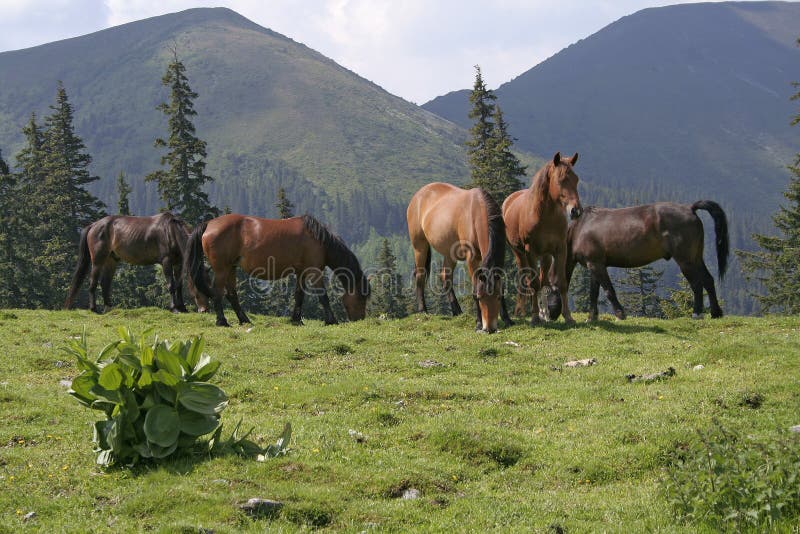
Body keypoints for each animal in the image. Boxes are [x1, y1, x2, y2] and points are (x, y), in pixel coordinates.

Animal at [64, 213, 208, 314]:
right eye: (200, 287)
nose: (204, 309)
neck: (171, 231)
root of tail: (93, 225)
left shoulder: (178, 262)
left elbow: (178, 285)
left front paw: (182, 307)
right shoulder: (166, 261)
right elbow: (171, 285)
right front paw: (174, 308)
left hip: (111, 260)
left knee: (105, 283)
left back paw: (109, 308)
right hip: (98, 260)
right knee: (93, 283)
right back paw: (94, 309)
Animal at [184, 216, 368, 328]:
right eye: (361, 297)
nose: (360, 320)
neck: (318, 239)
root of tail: (209, 224)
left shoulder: (301, 272)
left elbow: (299, 295)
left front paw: (296, 320)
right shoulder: (314, 271)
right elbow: (323, 297)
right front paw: (331, 321)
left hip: (231, 268)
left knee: (231, 294)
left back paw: (244, 320)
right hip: (222, 269)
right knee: (218, 293)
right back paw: (222, 321)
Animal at [404, 184, 510, 336]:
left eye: (497, 297)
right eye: (480, 298)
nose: (489, 328)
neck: (477, 213)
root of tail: (418, 195)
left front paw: (507, 319)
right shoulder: (471, 258)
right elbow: (473, 289)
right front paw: (478, 323)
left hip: (449, 254)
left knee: (445, 277)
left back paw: (456, 311)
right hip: (419, 246)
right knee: (420, 276)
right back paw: (422, 310)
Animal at [504, 152, 584, 326]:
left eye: (576, 179)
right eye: (560, 180)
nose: (576, 211)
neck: (546, 217)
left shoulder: (560, 250)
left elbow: (560, 283)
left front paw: (567, 317)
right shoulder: (531, 251)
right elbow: (533, 284)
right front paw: (534, 316)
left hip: (546, 256)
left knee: (544, 281)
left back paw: (544, 313)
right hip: (519, 254)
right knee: (526, 280)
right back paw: (522, 312)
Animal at [564, 200, 732, 318]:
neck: (580, 228)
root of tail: (690, 208)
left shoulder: (596, 265)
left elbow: (608, 291)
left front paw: (619, 313)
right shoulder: (594, 265)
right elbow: (593, 293)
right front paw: (592, 317)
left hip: (686, 261)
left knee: (697, 284)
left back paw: (697, 313)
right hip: (696, 258)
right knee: (708, 280)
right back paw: (715, 313)